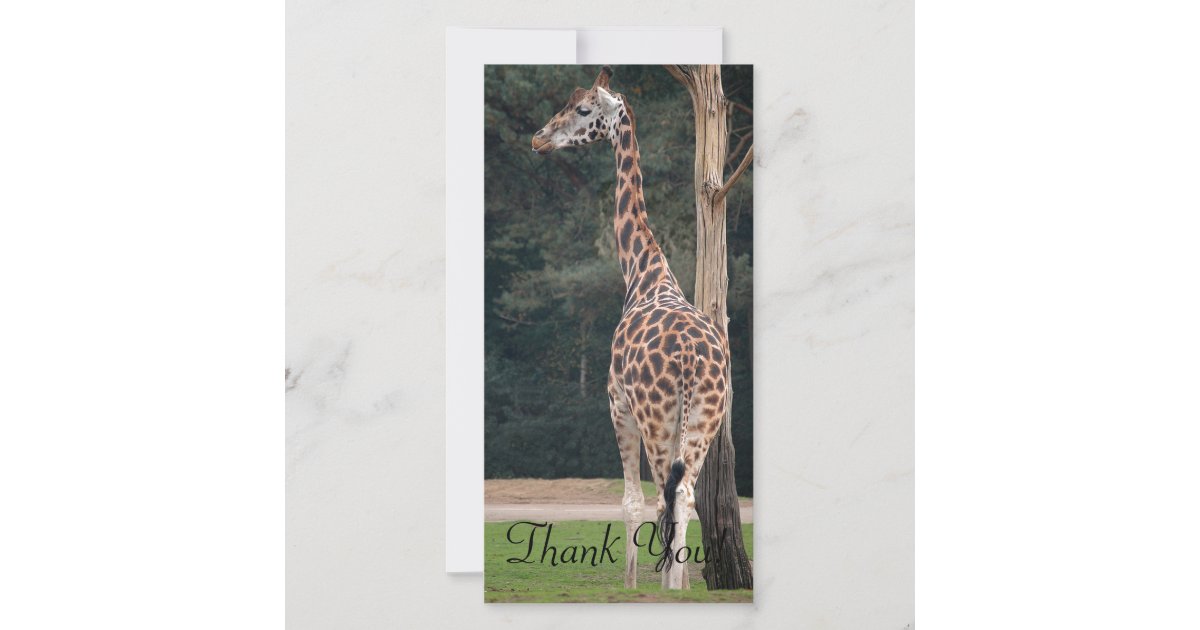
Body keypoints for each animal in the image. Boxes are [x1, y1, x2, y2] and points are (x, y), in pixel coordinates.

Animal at [532, 66, 729, 590]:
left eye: (583, 109)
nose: (539, 138)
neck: (643, 273)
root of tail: (691, 358)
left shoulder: (615, 401)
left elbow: (630, 503)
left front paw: (631, 585)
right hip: (705, 416)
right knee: (685, 495)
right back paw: (676, 589)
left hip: (654, 414)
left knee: (666, 495)